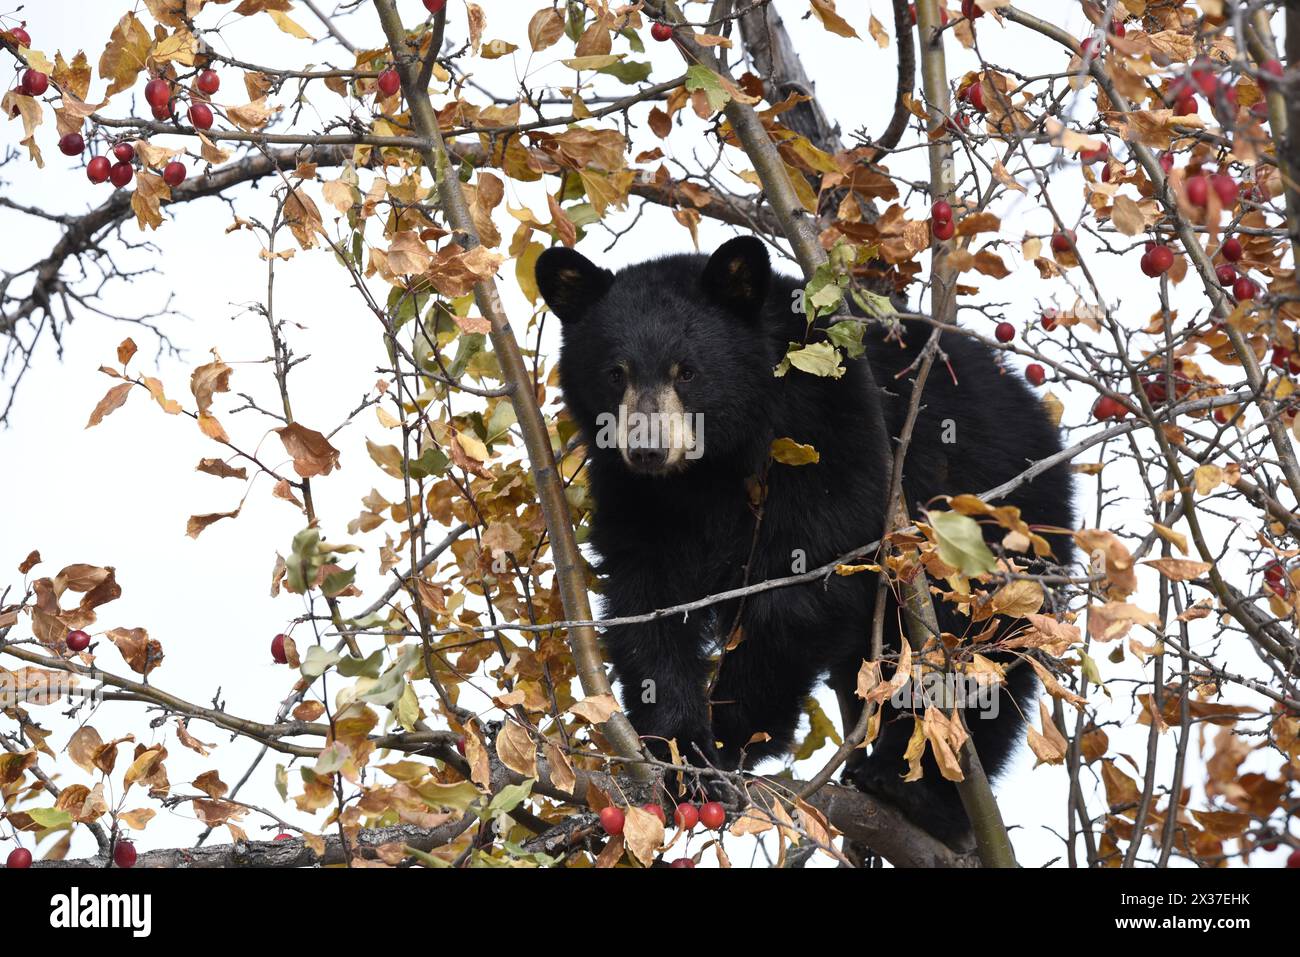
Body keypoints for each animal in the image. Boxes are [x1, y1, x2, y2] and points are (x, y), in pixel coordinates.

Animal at [535, 235, 1075, 844]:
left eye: (688, 372)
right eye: (615, 373)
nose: (648, 449)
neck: (711, 468)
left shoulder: (828, 429)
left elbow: (808, 578)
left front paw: (732, 733)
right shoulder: (635, 493)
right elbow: (647, 600)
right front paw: (685, 756)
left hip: (1000, 524)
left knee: (985, 653)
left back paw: (917, 792)